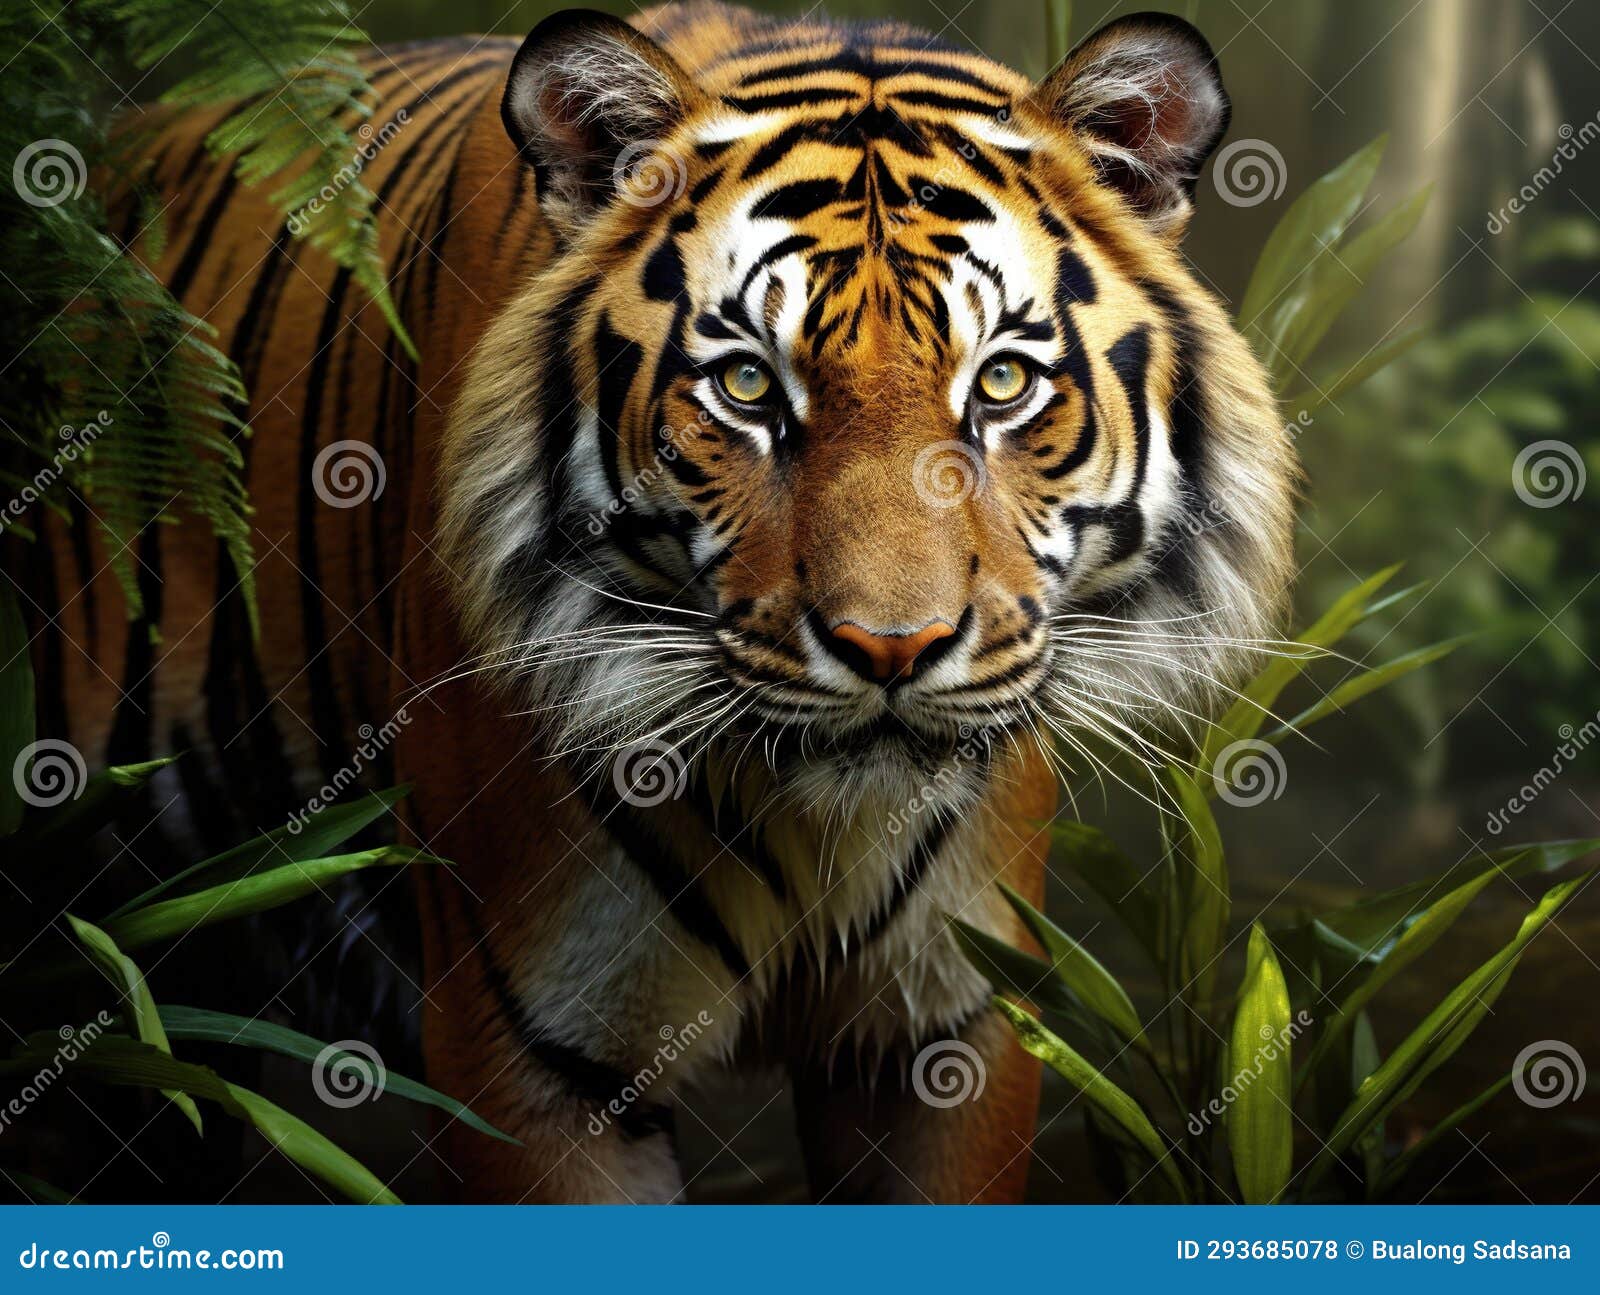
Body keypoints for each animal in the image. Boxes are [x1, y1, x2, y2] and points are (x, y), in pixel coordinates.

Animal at [22, 2, 1296, 1202]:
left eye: (1002, 383)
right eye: (746, 386)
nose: (892, 649)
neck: (816, 825)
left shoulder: (949, 1031)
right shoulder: (533, 1054)